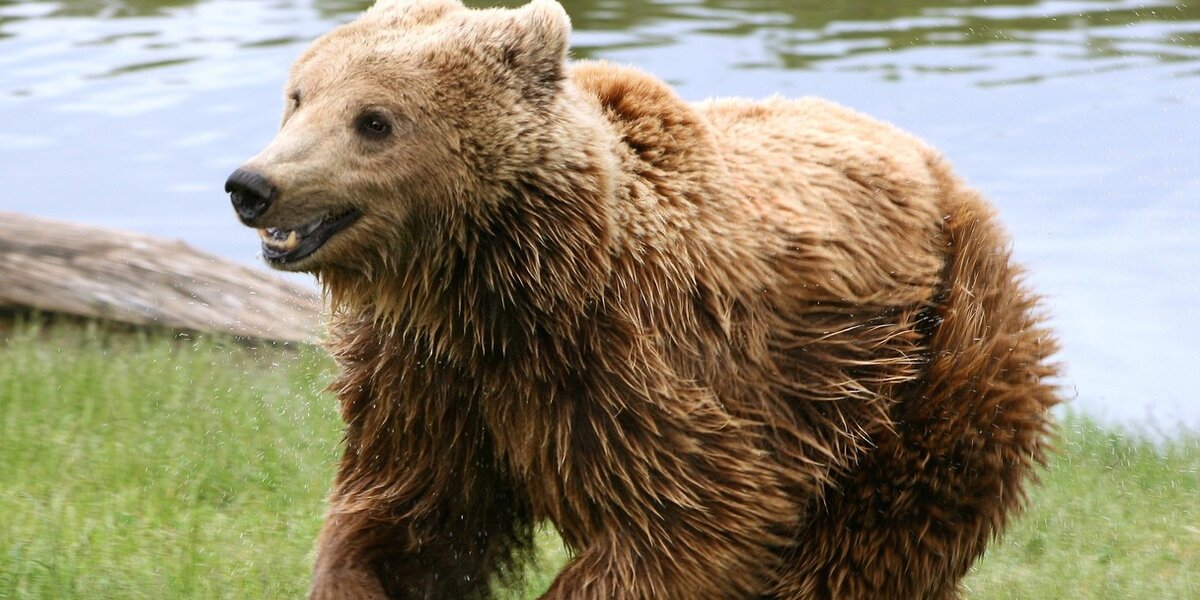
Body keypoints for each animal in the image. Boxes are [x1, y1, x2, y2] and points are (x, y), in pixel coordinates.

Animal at [223, 0, 1061, 598]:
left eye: (374, 120)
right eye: (298, 96)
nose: (253, 185)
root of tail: (938, 167)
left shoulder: (633, 369)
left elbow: (686, 525)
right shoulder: (429, 381)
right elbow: (414, 521)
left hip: (923, 367)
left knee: (865, 548)